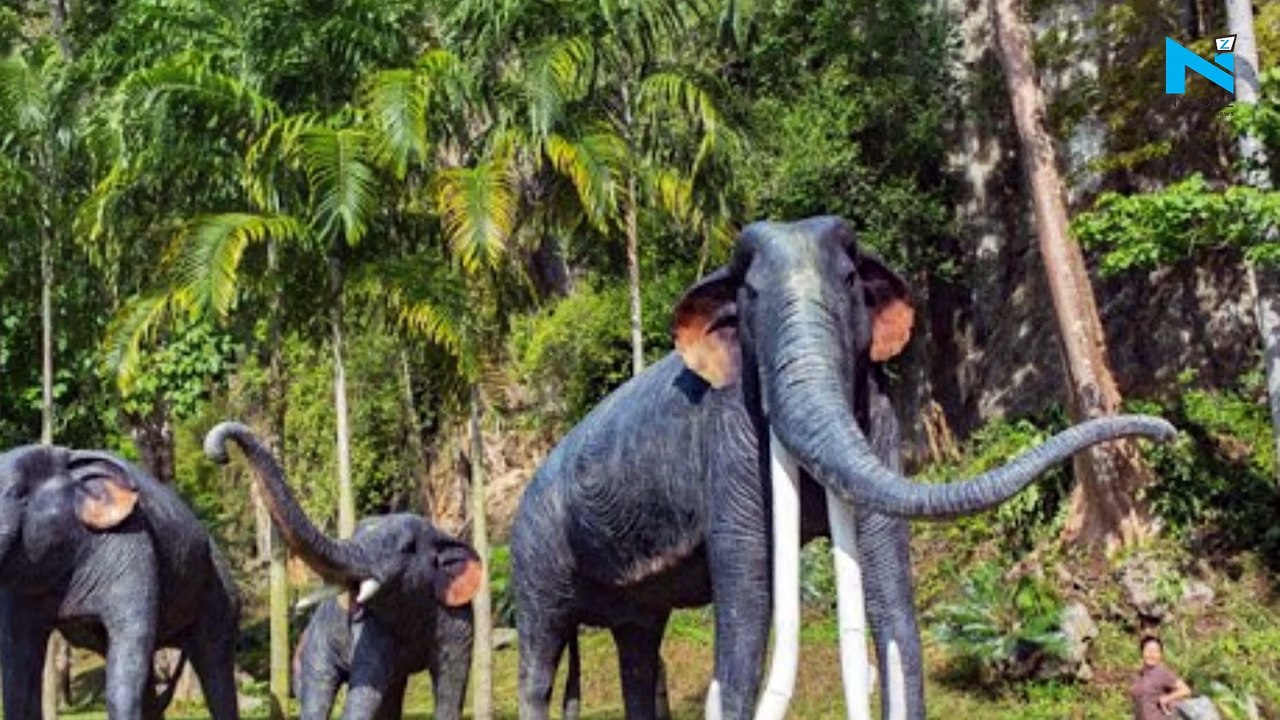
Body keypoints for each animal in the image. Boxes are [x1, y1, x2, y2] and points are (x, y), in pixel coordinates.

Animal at [0, 443, 241, 720]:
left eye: (18, 493)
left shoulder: (131, 541)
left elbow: (130, 642)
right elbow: (16, 663)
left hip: (219, 591)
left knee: (215, 667)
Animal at [204, 421, 483, 720]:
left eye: (407, 548)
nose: (220, 454)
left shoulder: (457, 619)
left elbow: (451, 684)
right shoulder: (369, 629)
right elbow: (367, 691)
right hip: (312, 649)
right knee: (319, 690)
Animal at [509, 216, 1177, 720]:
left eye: (852, 279)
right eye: (751, 294)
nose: (1166, 432)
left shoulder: (879, 421)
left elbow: (890, 590)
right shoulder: (727, 437)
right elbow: (746, 598)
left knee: (638, 645)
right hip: (535, 549)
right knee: (540, 658)